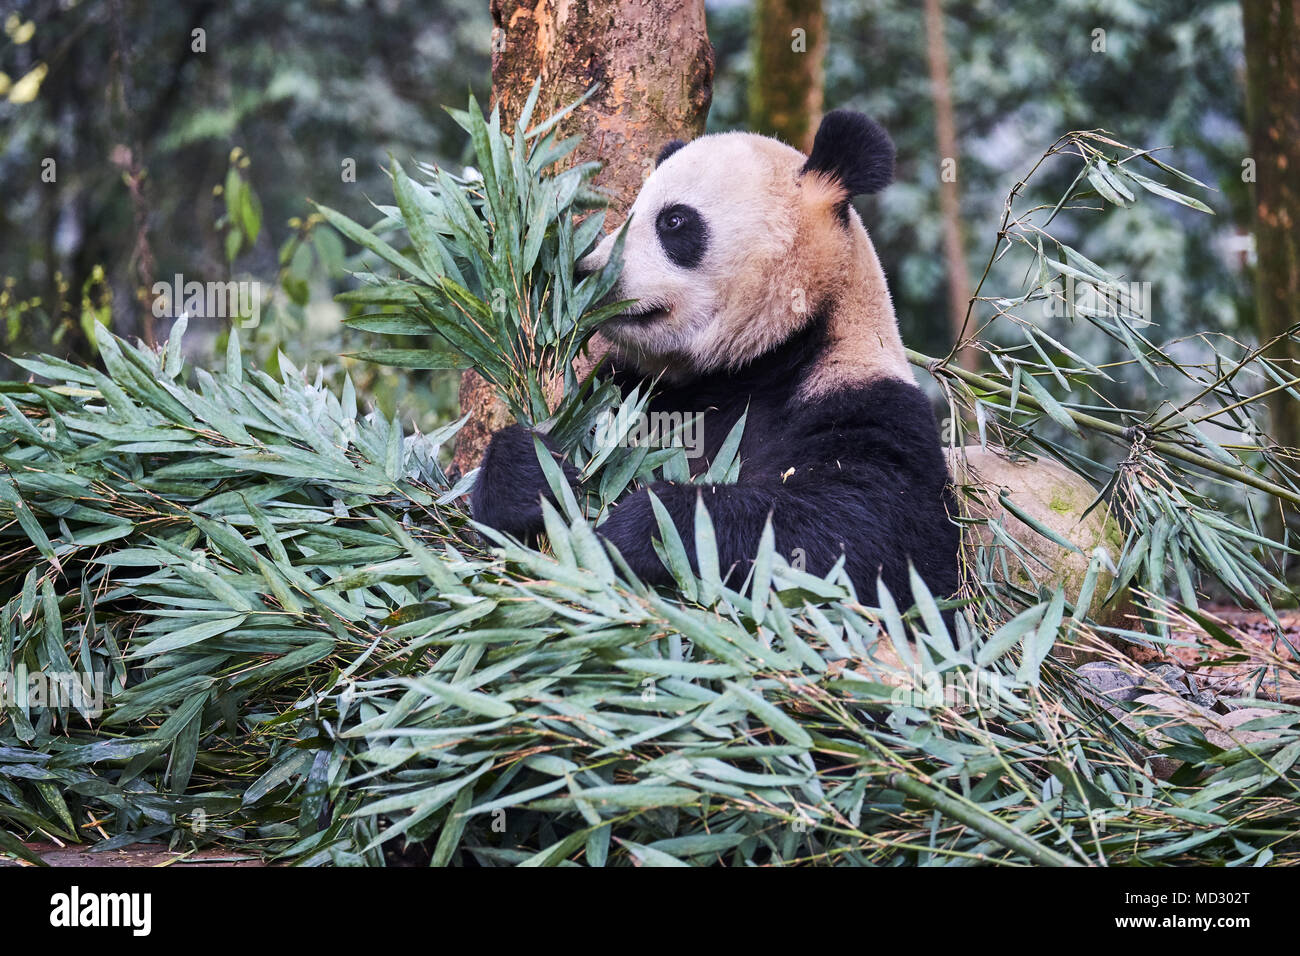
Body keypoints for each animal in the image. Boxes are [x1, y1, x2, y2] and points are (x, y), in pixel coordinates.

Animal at [471, 110, 960, 609]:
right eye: (631, 213)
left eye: (674, 220)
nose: (587, 273)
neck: (756, 362)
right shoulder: (630, 392)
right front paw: (534, 473)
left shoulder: (869, 400)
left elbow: (872, 542)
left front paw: (645, 526)